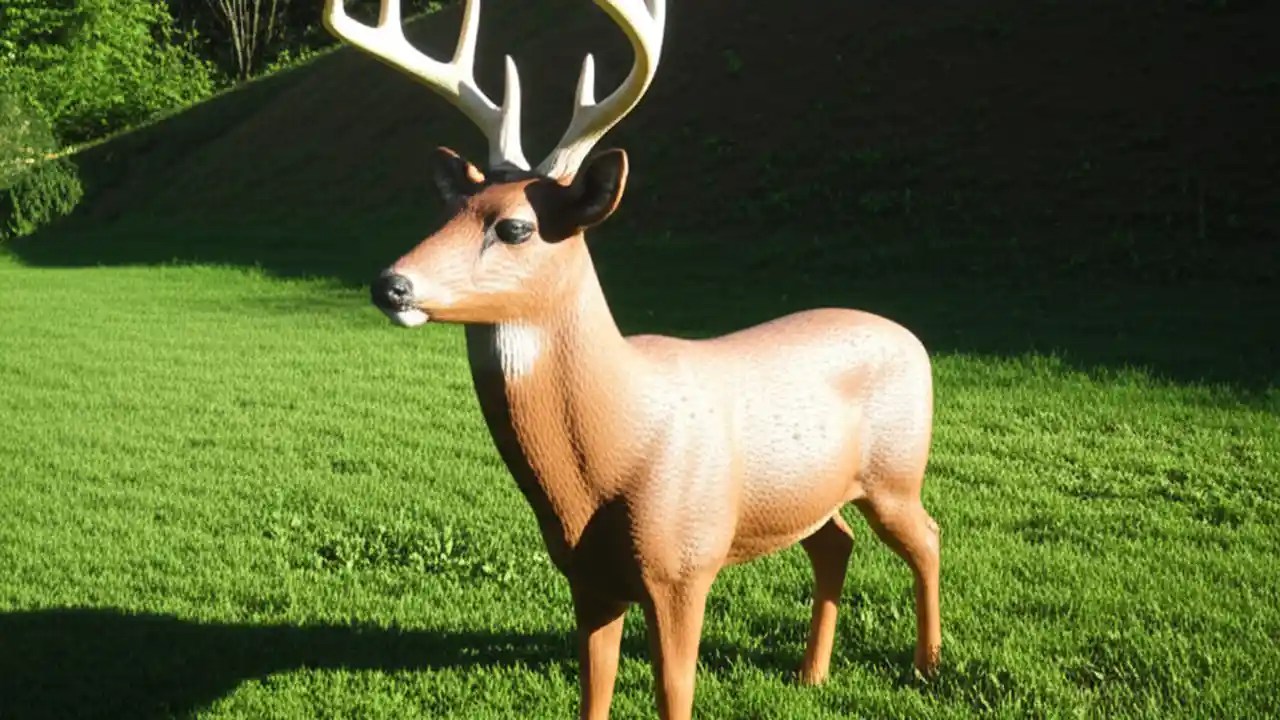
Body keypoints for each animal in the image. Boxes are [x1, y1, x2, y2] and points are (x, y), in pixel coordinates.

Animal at [321, 0, 941, 717]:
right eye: (448, 211)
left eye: (515, 227)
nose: (391, 285)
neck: (614, 447)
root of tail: (912, 338)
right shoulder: (587, 576)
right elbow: (595, 687)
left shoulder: (684, 567)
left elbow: (675, 691)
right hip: (809, 490)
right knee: (834, 543)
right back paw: (810, 674)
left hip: (897, 471)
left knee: (927, 537)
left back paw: (927, 667)